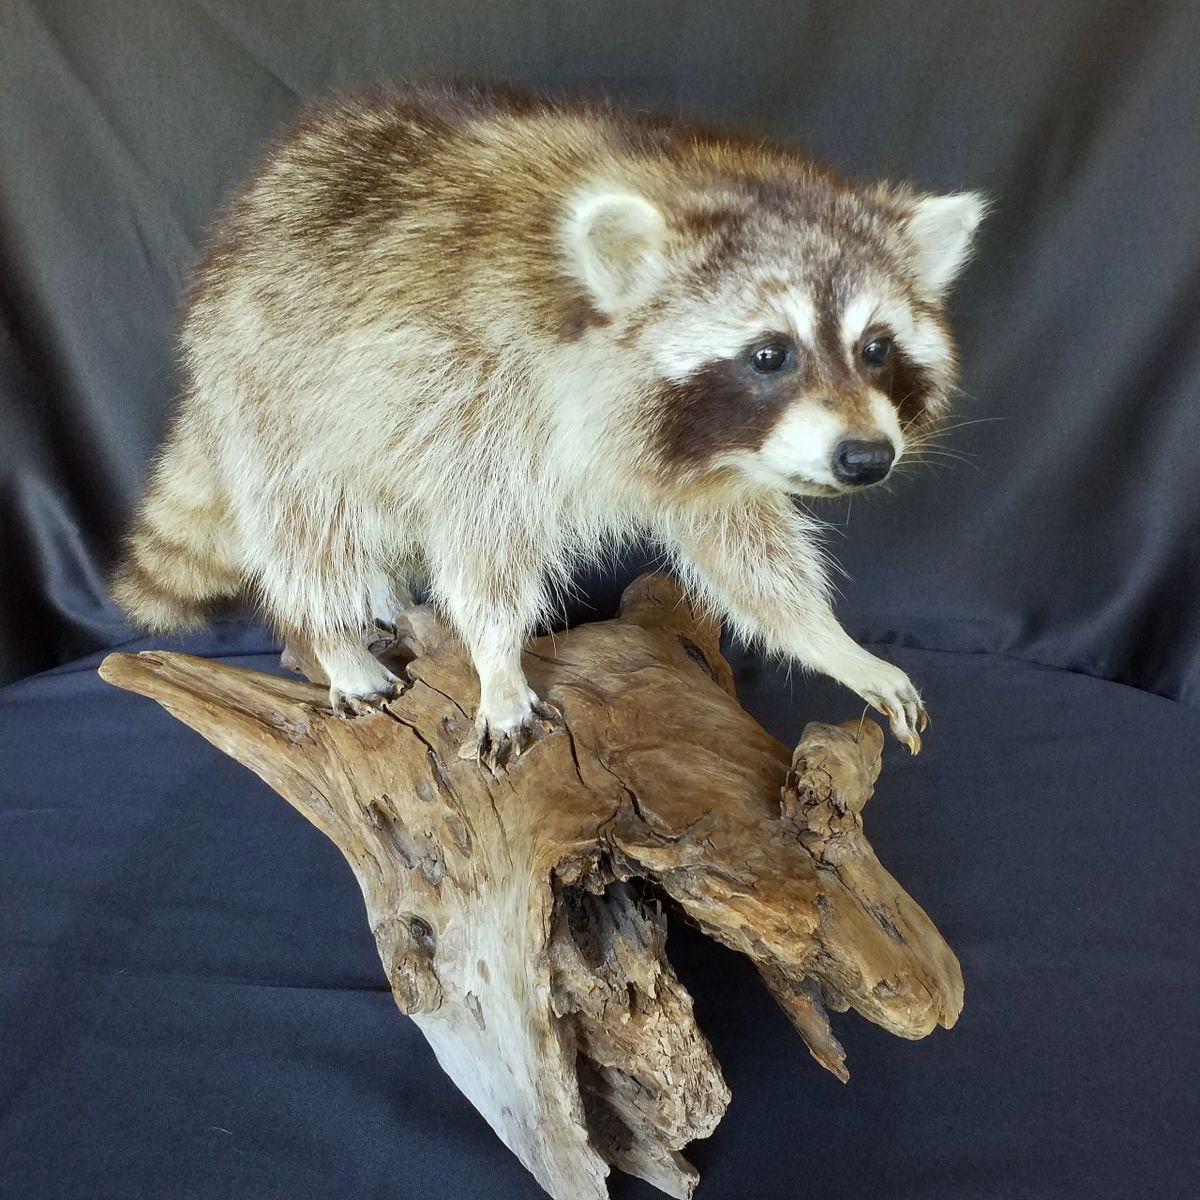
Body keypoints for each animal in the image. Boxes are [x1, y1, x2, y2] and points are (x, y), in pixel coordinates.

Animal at [112, 81, 984, 766]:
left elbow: (743, 548)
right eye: (770, 354)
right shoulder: (477, 389)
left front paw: (829, 643)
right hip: (274, 384)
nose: (866, 457)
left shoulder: (713, 454)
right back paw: (328, 637)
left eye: (875, 349)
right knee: (307, 525)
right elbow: (483, 549)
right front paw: (497, 664)